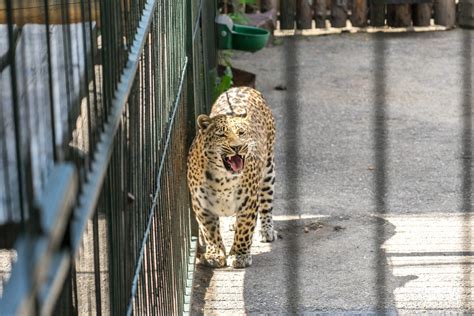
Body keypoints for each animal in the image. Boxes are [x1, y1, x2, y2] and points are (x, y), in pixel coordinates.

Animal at [187, 87, 278, 270]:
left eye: (241, 133)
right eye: (221, 135)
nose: (237, 147)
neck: (222, 180)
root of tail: (243, 87)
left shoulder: (249, 201)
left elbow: (244, 231)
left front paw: (240, 255)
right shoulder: (201, 205)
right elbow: (210, 231)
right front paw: (215, 255)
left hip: (268, 172)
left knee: (266, 205)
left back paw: (266, 230)